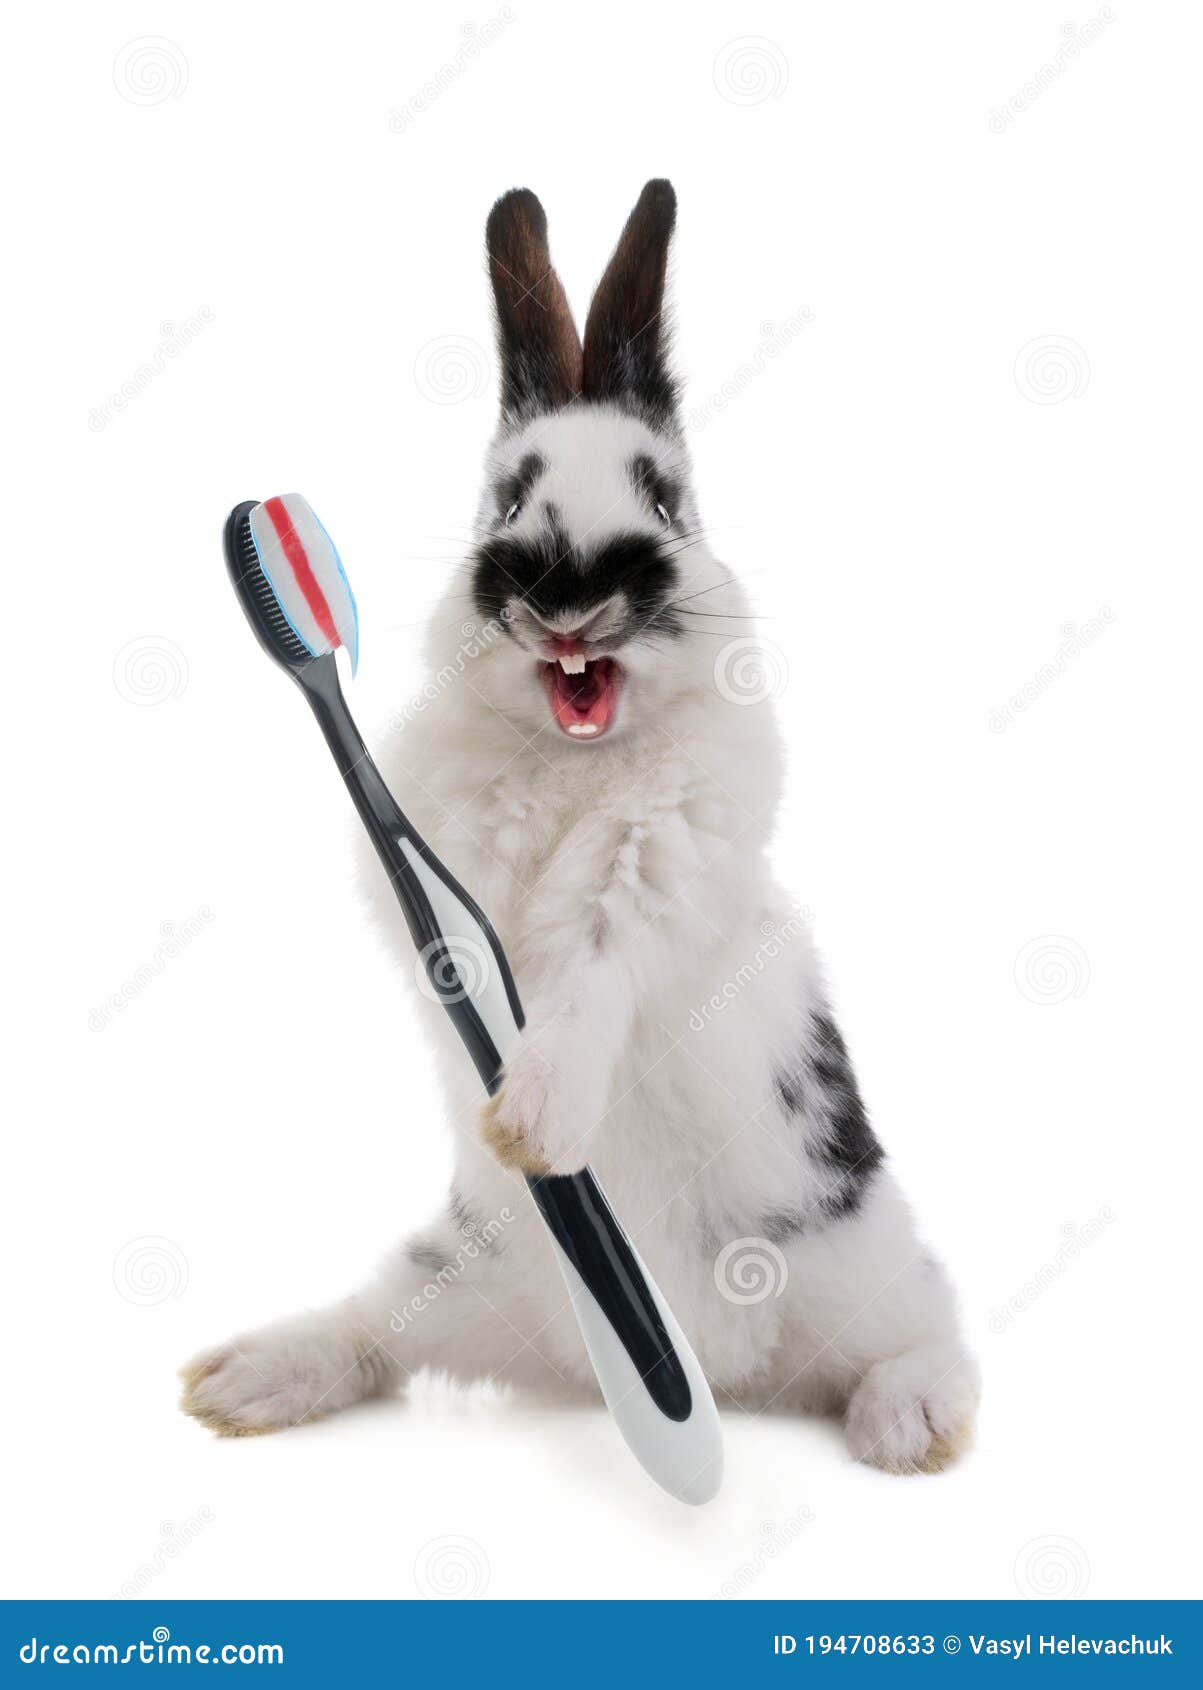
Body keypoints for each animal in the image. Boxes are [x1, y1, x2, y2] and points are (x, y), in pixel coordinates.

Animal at [181, 181, 979, 1477]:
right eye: (507, 496)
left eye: (664, 495)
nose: (563, 587)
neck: (576, 758)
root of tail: (738, 1375)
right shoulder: (446, 861)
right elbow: (464, 944)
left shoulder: (656, 870)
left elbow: (588, 975)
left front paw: (535, 1116)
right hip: (461, 1272)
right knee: (372, 1335)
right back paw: (247, 1378)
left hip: (861, 1264)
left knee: (932, 1329)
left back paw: (909, 1422)